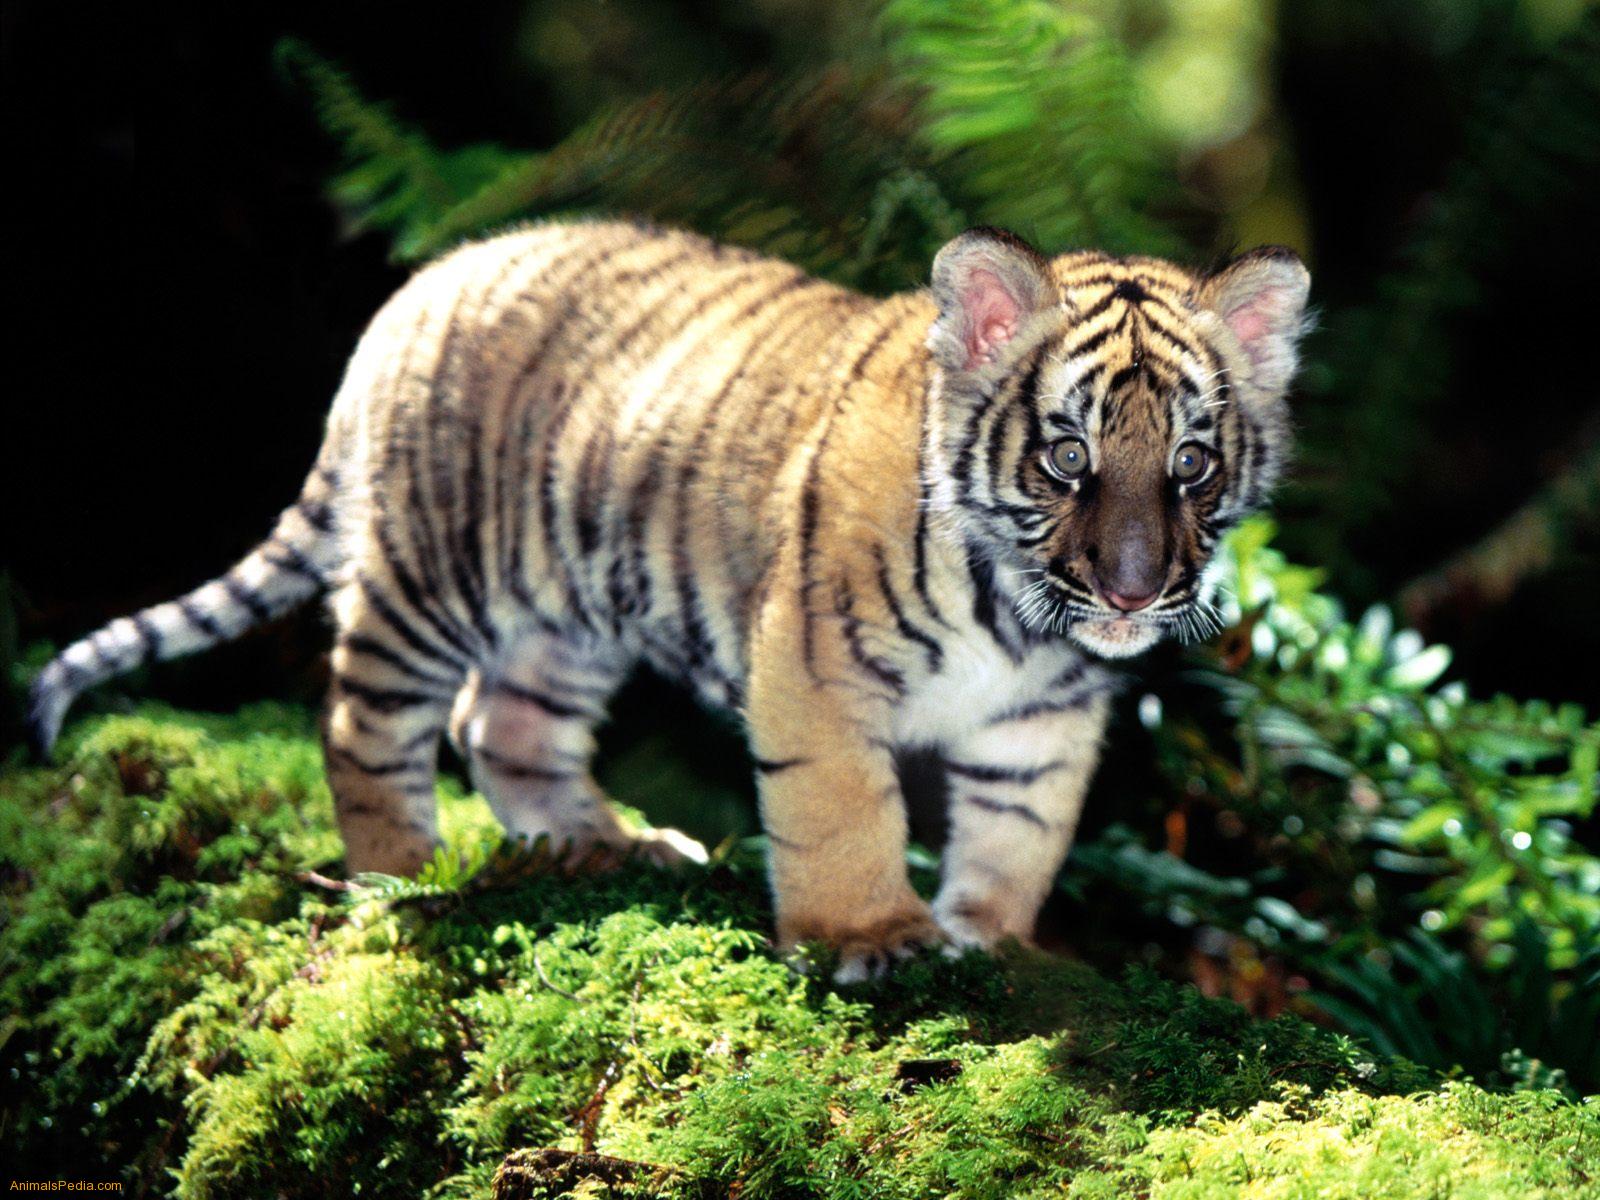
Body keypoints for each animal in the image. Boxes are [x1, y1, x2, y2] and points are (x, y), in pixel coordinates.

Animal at [28, 219, 1309, 980]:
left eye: (1191, 463)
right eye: (1065, 458)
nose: (1134, 588)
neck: (1021, 618)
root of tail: (424, 283)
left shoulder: (1042, 720)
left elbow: (1019, 831)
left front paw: (989, 939)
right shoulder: (812, 672)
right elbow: (844, 812)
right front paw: (867, 937)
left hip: (568, 612)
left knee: (500, 724)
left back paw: (602, 844)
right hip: (433, 576)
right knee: (363, 720)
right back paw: (405, 870)